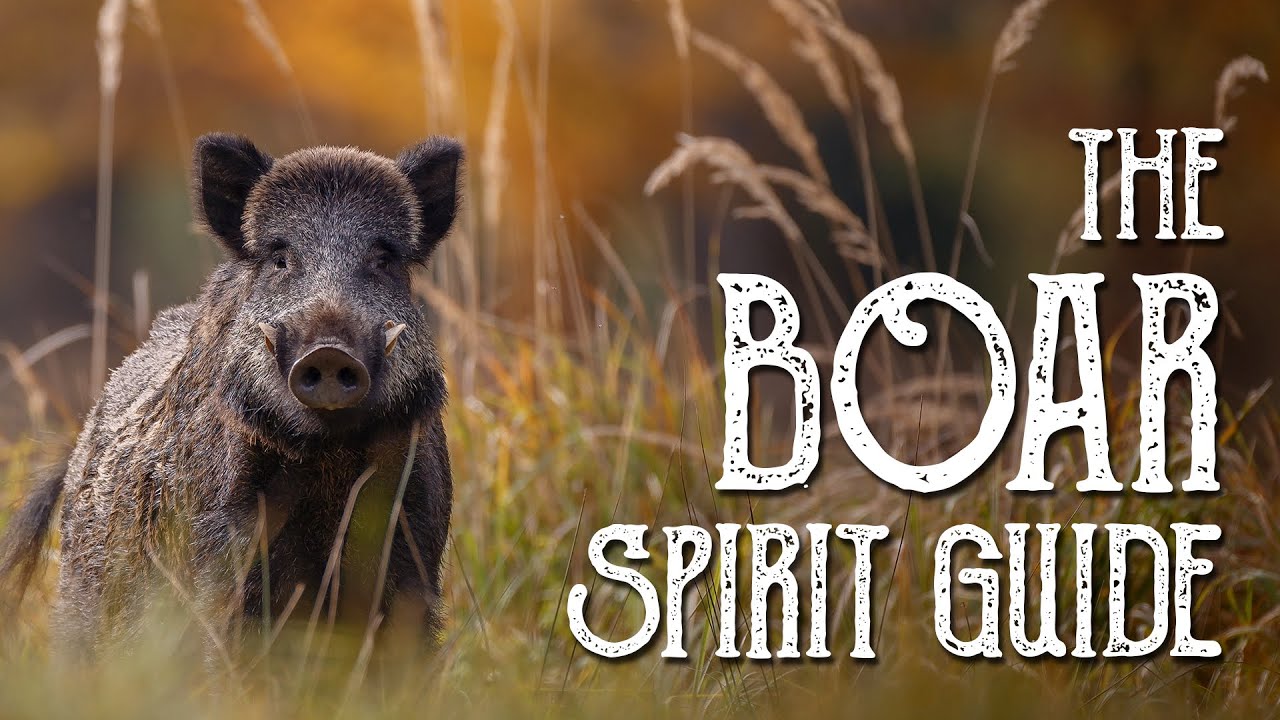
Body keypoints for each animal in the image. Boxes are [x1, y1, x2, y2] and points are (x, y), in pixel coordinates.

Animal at [0, 133, 462, 659]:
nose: (328, 350)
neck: (330, 460)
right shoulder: (226, 548)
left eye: (384, 260)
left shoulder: (413, 546)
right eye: (280, 259)